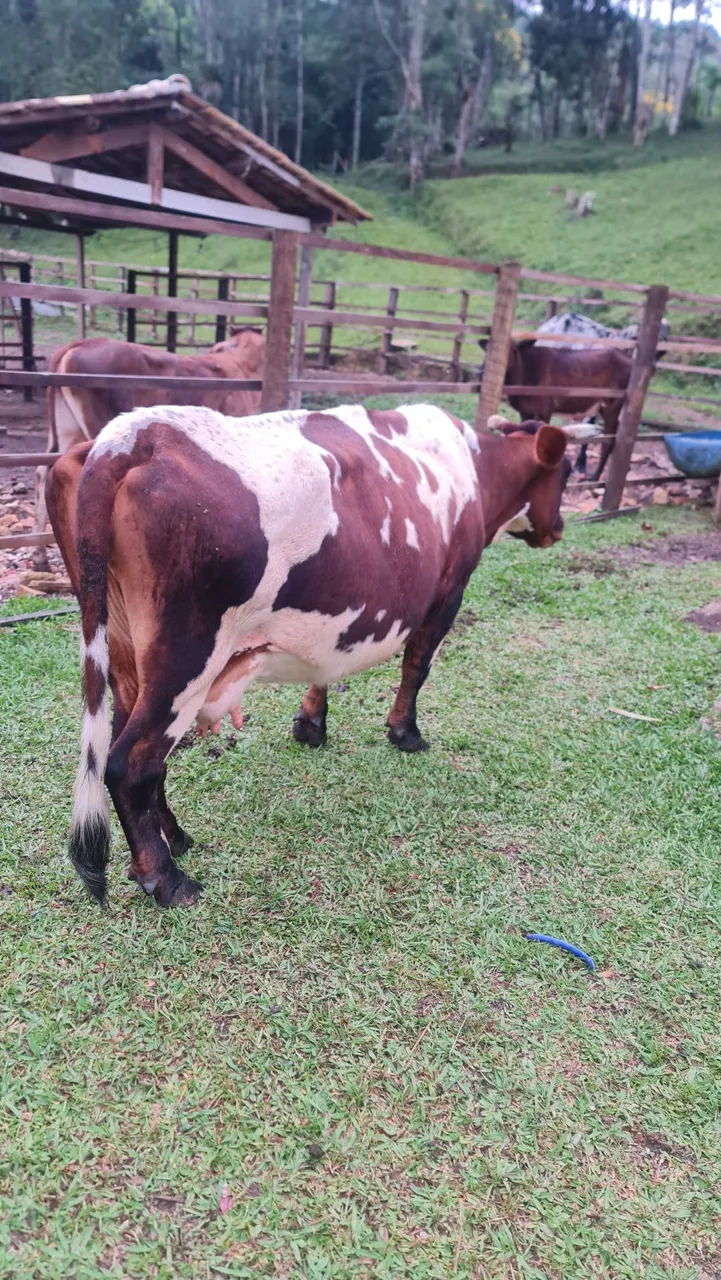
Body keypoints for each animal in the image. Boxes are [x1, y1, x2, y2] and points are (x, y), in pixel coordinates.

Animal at [46, 403, 597, 910]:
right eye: (566, 473)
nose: (559, 527)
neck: (473, 467)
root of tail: (132, 435)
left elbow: (326, 664)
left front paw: (311, 723)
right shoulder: (449, 592)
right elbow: (416, 668)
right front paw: (405, 733)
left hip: (125, 652)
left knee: (133, 742)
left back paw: (176, 840)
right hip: (186, 656)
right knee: (132, 762)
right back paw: (167, 879)